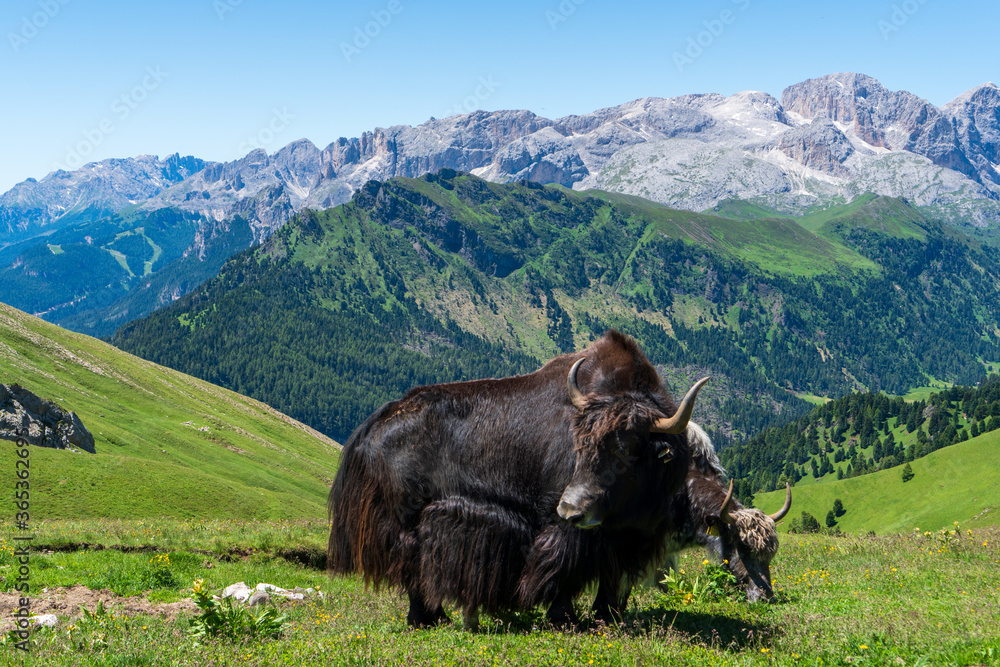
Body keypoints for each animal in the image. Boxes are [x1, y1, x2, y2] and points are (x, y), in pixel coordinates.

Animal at [326, 330, 709, 629]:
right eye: (579, 444)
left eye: (628, 450)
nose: (571, 508)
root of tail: (371, 427)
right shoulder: (562, 526)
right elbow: (562, 567)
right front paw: (564, 619)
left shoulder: (631, 536)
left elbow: (613, 578)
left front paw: (607, 619)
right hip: (405, 518)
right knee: (411, 565)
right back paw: (426, 619)